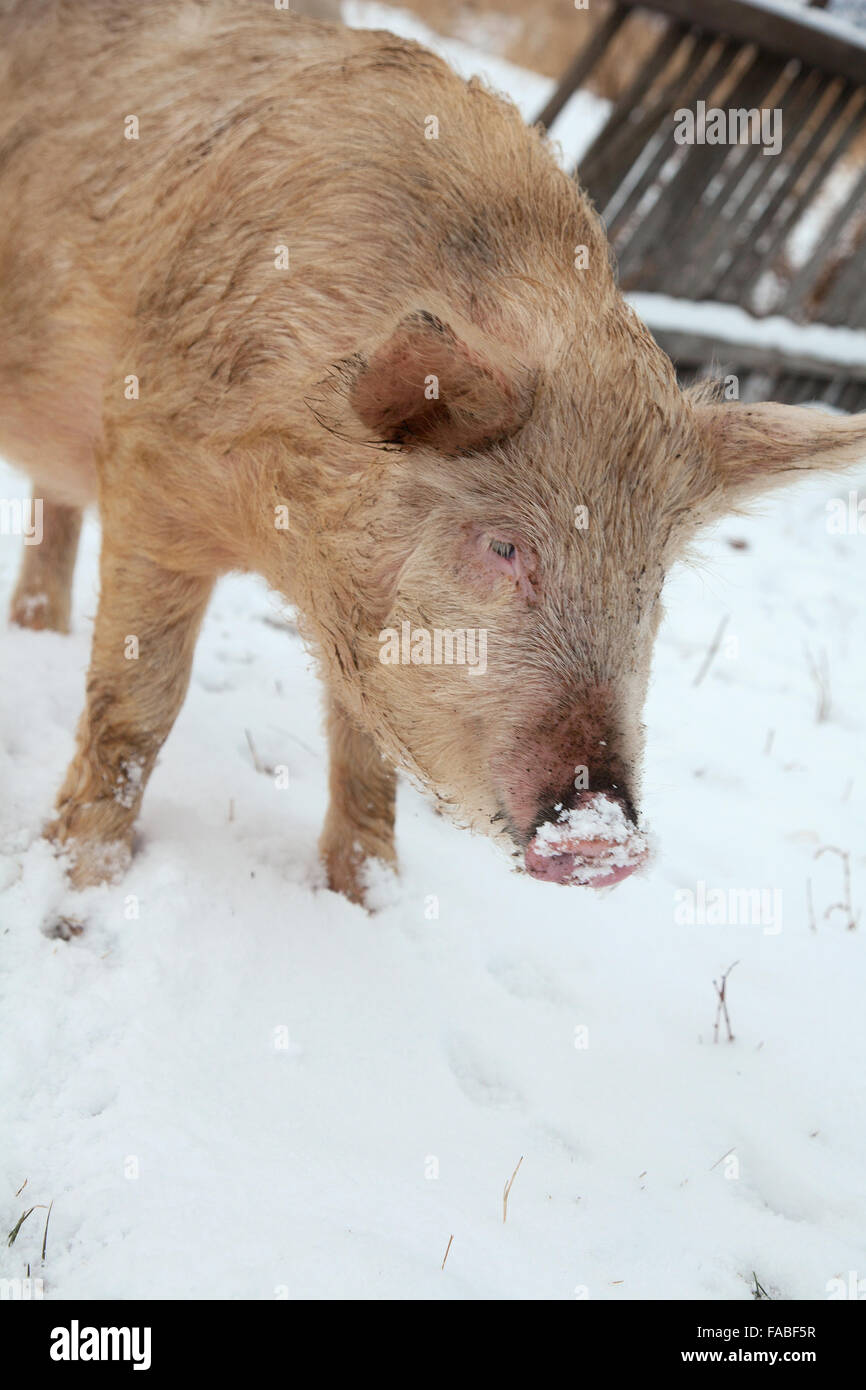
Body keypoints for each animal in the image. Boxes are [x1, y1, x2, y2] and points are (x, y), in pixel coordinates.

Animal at [1, 1, 864, 908]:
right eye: (504, 546)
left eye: (650, 582)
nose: (603, 836)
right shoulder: (151, 475)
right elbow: (138, 712)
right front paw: (79, 891)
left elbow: (367, 759)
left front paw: (366, 902)